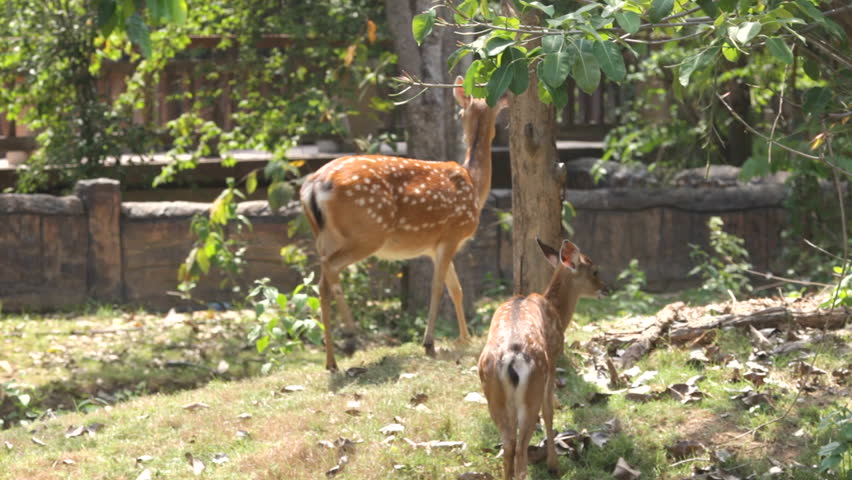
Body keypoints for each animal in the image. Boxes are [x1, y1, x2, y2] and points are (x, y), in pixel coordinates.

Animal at [299, 76, 507, 371]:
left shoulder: (436, 245)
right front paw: (430, 343)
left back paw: (332, 361)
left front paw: (465, 338)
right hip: (368, 232)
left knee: (321, 284)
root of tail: (314, 186)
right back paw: (350, 338)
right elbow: (438, 288)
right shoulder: (452, 234)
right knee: (332, 269)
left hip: (326, 237)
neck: (475, 186)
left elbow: (456, 289)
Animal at [478, 238, 609, 480]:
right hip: (534, 382)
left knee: (509, 444)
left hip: (492, 393)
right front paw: (553, 465)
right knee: (520, 448)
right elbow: (549, 410)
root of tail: (511, 358)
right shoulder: (554, 356)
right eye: (594, 270)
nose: (606, 289)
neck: (556, 309)